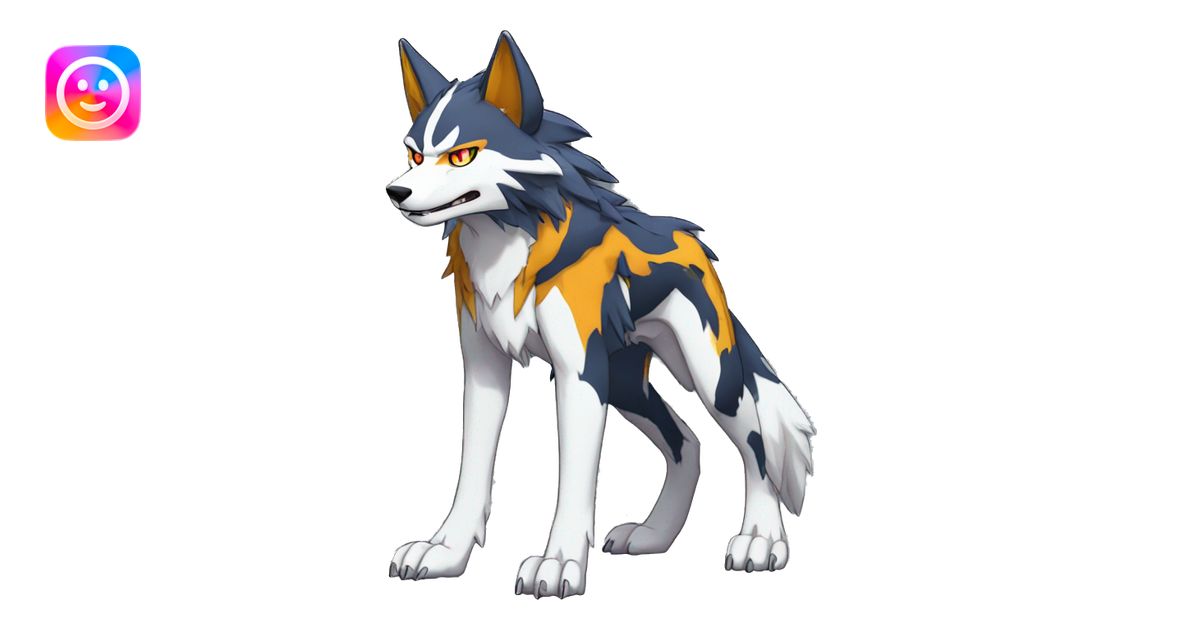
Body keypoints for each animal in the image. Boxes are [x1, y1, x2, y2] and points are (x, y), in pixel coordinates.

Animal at [385, 32, 815, 598]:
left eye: (461, 155)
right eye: (414, 154)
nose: (396, 191)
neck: (509, 244)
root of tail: (694, 245)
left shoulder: (579, 375)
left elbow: (574, 481)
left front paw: (559, 563)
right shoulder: (484, 369)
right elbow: (472, 470)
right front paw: (445, 553)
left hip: (709, 379)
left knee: (756, 444)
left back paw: (761, 539)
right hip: (626, 383)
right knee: (688, 443)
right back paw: (654, 535)